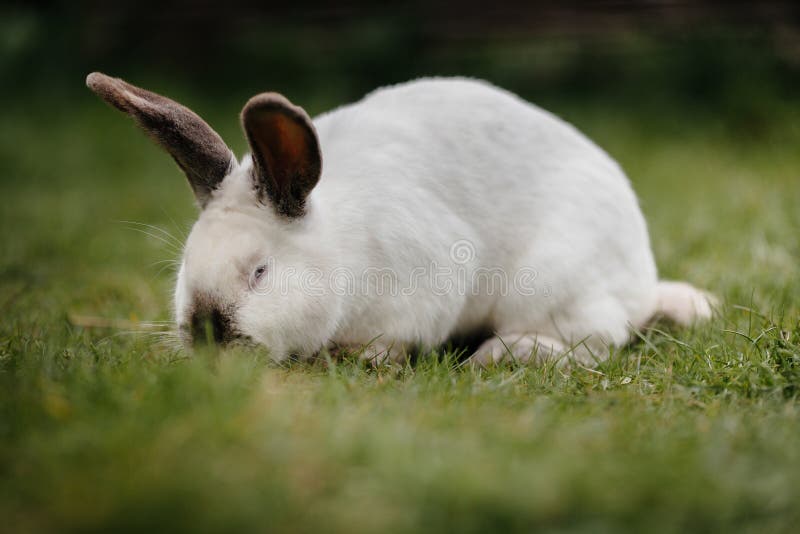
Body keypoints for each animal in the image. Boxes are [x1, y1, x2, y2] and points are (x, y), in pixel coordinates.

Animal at [86, 72, 714, 366]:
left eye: (260, 273)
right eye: (184, 268)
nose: (207, 335)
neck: (343, 251)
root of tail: (641, 278)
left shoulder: (423, 290)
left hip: (552, 286)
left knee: (595, 340)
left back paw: (496, 357)